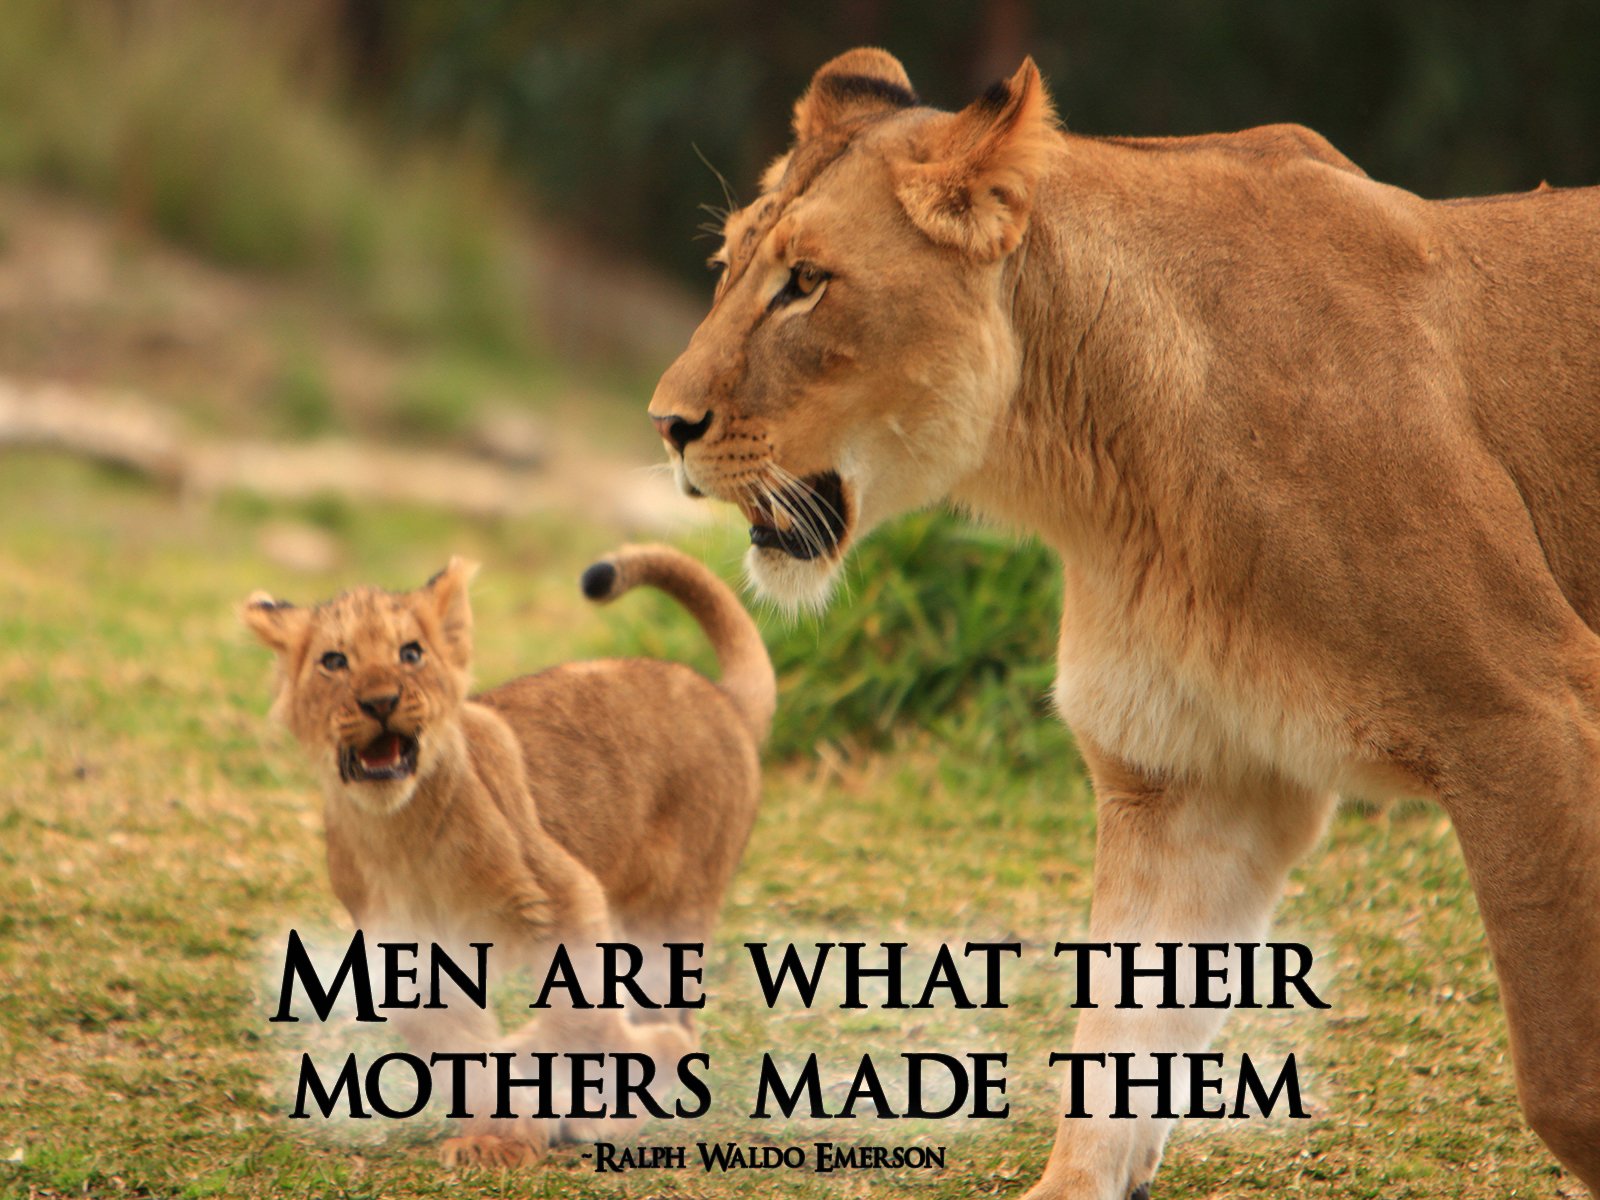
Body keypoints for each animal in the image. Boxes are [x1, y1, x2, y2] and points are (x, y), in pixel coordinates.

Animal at [244, 544, 773, 1167]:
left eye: (410, 653)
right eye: (334, 661)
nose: (380, 701)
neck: (402, 831)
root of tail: (722, 699)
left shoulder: (564, 895)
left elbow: (577, 1019)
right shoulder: (408, 951)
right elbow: (457, 1047)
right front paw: (496, 1135)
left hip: (670, 907)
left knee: (679, 1026)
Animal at [645, 46, 1600, 1200]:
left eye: (806, 282)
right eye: (729, 263)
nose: (665, 424)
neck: (1105, 470)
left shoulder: (1527, 713)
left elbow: (1565, 1078)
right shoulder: (1189, 777)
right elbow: (1117, 1055)